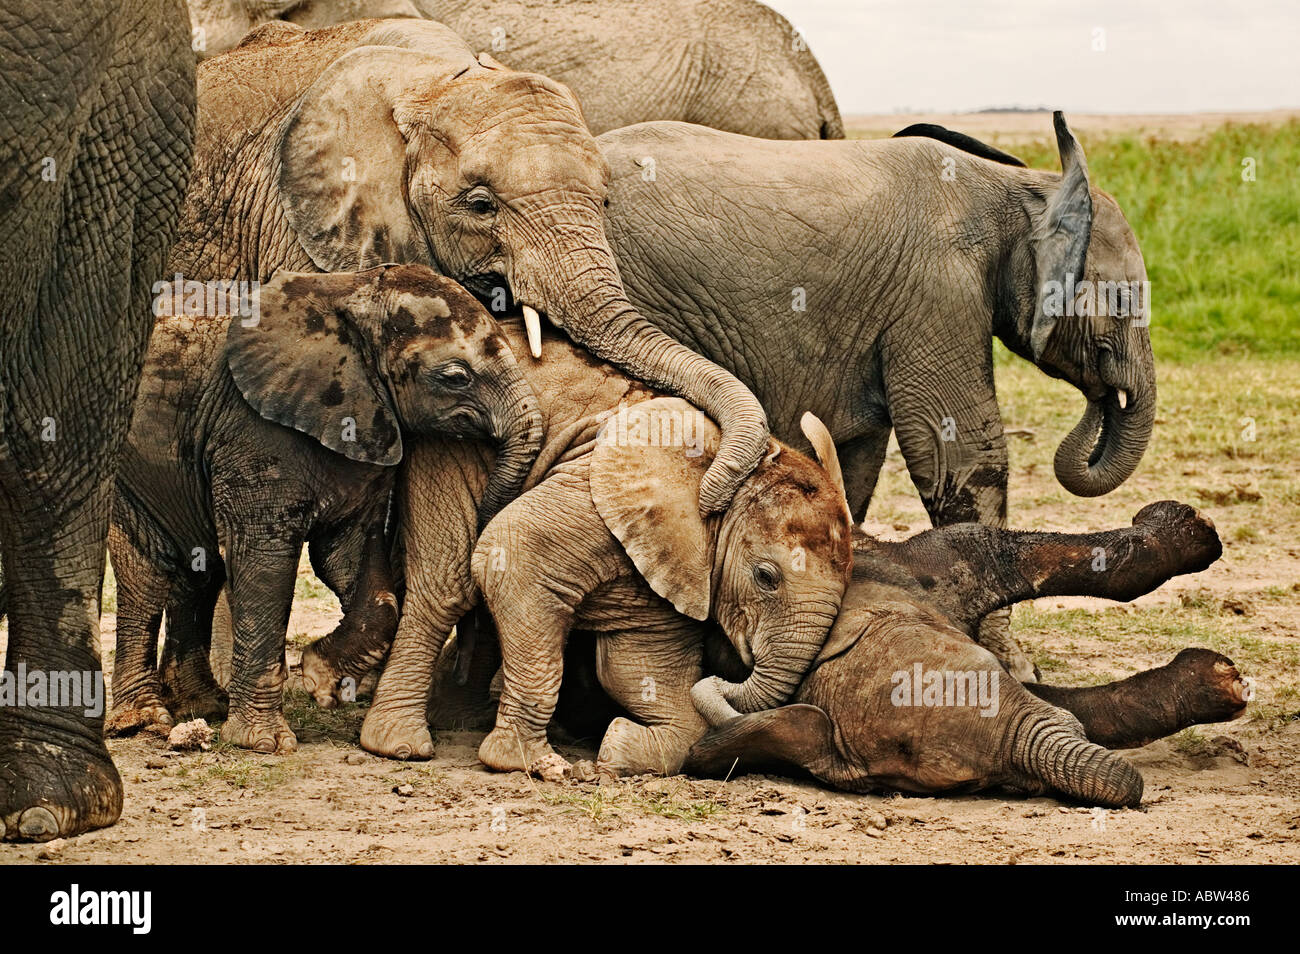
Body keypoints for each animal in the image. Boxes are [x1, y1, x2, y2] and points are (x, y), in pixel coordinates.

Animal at [105, 266, 541, 754]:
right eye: (455, 377)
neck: (352, 290)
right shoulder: (253, 432)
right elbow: (265, 564)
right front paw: (266, 742)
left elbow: (354, 562)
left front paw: (320, 679)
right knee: (146, 571)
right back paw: (142, 722)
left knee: (199, 568)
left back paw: (203, 707)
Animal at [472, 398, 852, 780]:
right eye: (765, 577)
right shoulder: (591, 495)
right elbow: (512, 555)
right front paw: (526, 760)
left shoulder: (668, 560)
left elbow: (635, 667)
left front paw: (615, 746)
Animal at [592, 113, 1157, 681]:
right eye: (1123, 300)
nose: (1104, 394)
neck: (1021, 186)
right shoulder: (939, 291)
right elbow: (963, 451)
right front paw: (1016, 667)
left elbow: (856, 462)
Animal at [684, 501, 1247, 806]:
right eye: (979, 782)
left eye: (991, 669)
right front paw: (1219, 681)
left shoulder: (926, 568)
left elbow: (996, 544)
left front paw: (1189, 527)